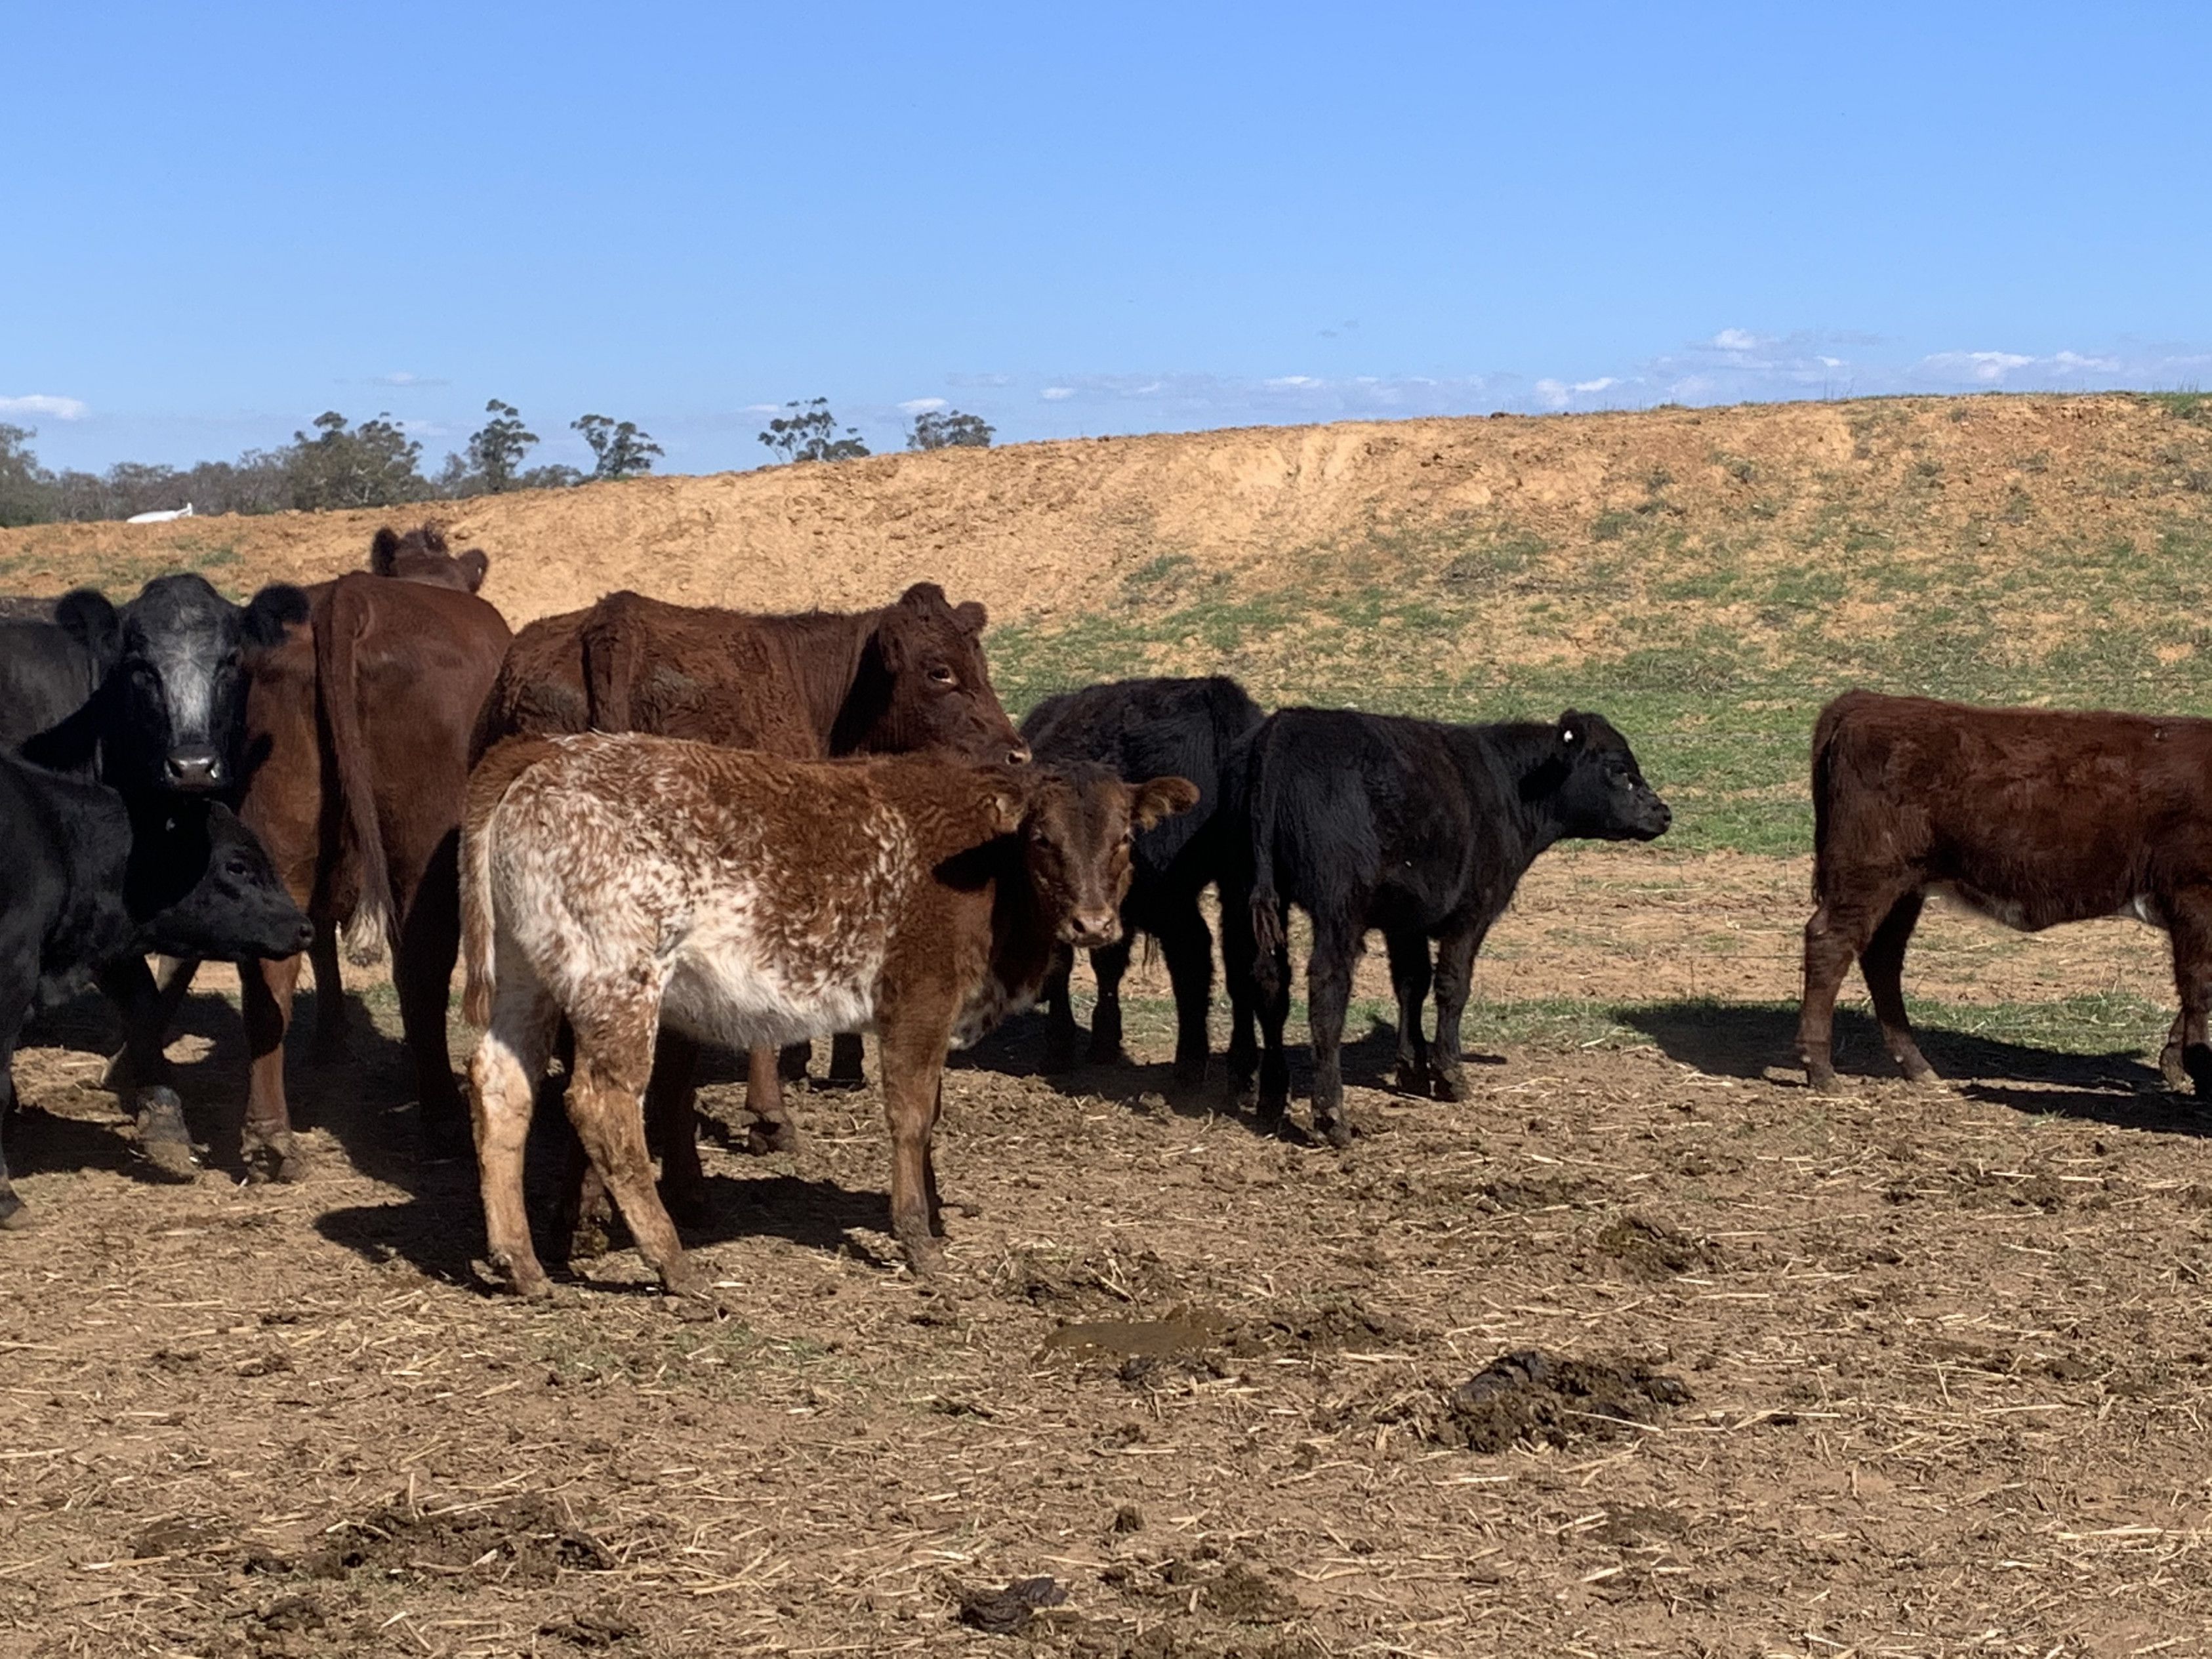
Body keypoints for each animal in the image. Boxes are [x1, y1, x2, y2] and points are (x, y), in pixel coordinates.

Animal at [460, 735, 1195, 1297]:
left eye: (1125, 838)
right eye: (1042, 838)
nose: (1094, 923)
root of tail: (546, 752)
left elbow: (932, 1114)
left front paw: (931, 1212)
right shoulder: (920, 997)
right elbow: (911, 1115)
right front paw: (918, 1238)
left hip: (526, 973)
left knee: (501, 1085)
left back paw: (522, 1265)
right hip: (618, 976)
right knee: (601, 1103)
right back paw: (674, 1265)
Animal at [473, 582, 1030, 1245]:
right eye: (941, 671)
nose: (1017, 754)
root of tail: (614, 622)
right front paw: (770, 1117)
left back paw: (576, 1211)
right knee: (665, 1061)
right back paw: (679, 1192)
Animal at [1020, 675, 1266, 1082]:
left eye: (1123, 838)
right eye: (1044, 838)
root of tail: (1212, 693)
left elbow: (1067, 962)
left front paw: (1059, 1050)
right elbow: (1108, 961)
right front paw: (1104, 1041)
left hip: (1171, 895)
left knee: (1192, 950)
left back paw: (1190, 1064)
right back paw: (1241, 1066)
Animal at [1225, 708, 1671, 1147]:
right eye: (1618, 769)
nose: (1663, 813)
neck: (1508, 787)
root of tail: (1284, 726)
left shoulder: (1407, 919)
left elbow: (1411, 983)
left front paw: (1412, 1069)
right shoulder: (1470, 914)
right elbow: (1452, 987)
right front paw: (1449, 1074)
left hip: (1248, 896)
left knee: (1269, 985)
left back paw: (1271, 1097)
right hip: (1338, 911)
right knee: (1326, 994)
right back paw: (1331, 1115)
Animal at [1797, 689, 2212, 1096]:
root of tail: (1870, 701)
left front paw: (2175, 1062)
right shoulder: (2193, 894)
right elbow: (2198, 986)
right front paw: (2195, 1069)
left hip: (1905, 886)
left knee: (1882, 957)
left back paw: (1917, 1068)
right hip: (1869, 873)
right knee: (1830, 942)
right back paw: (1821, 1070)